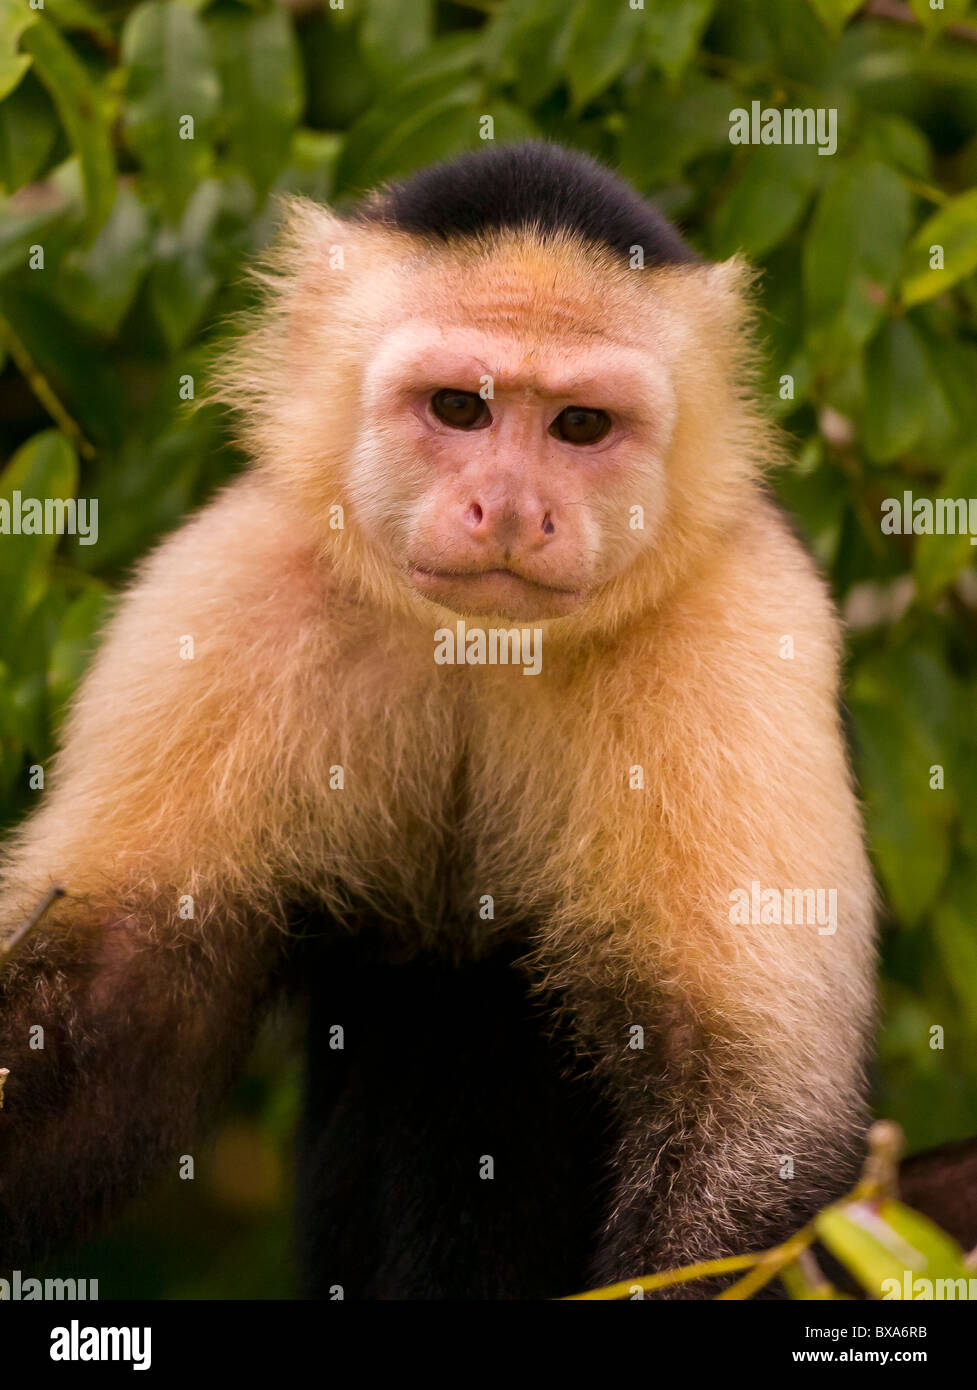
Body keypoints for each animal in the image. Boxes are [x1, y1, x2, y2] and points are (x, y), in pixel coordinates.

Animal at [0, 140, 877, 1298]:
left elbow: (754, 1113)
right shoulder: (227, 584)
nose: (507, 510)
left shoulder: (741, 617)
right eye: (460, 408)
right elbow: (116, 1006)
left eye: (580, 426)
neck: (480, 643)